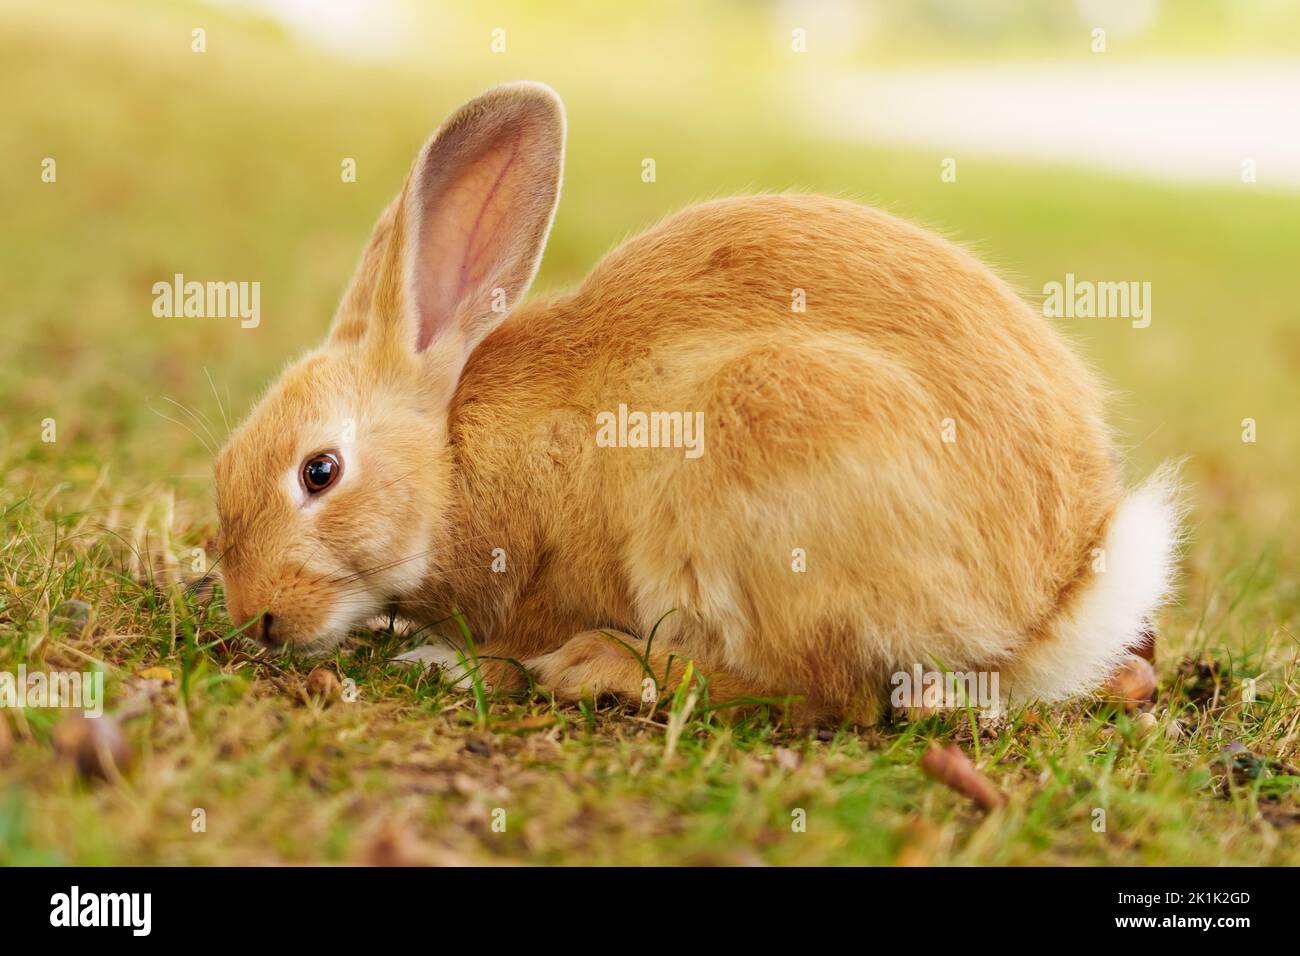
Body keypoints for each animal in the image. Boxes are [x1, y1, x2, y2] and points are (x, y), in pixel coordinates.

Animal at [213, 81, 1180, 723]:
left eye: (320, 472)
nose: (258, 617)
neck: (448, 463)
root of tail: (1041, 608)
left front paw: (452, 666)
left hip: (765, 443)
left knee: (828, 695)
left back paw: (599, 670)